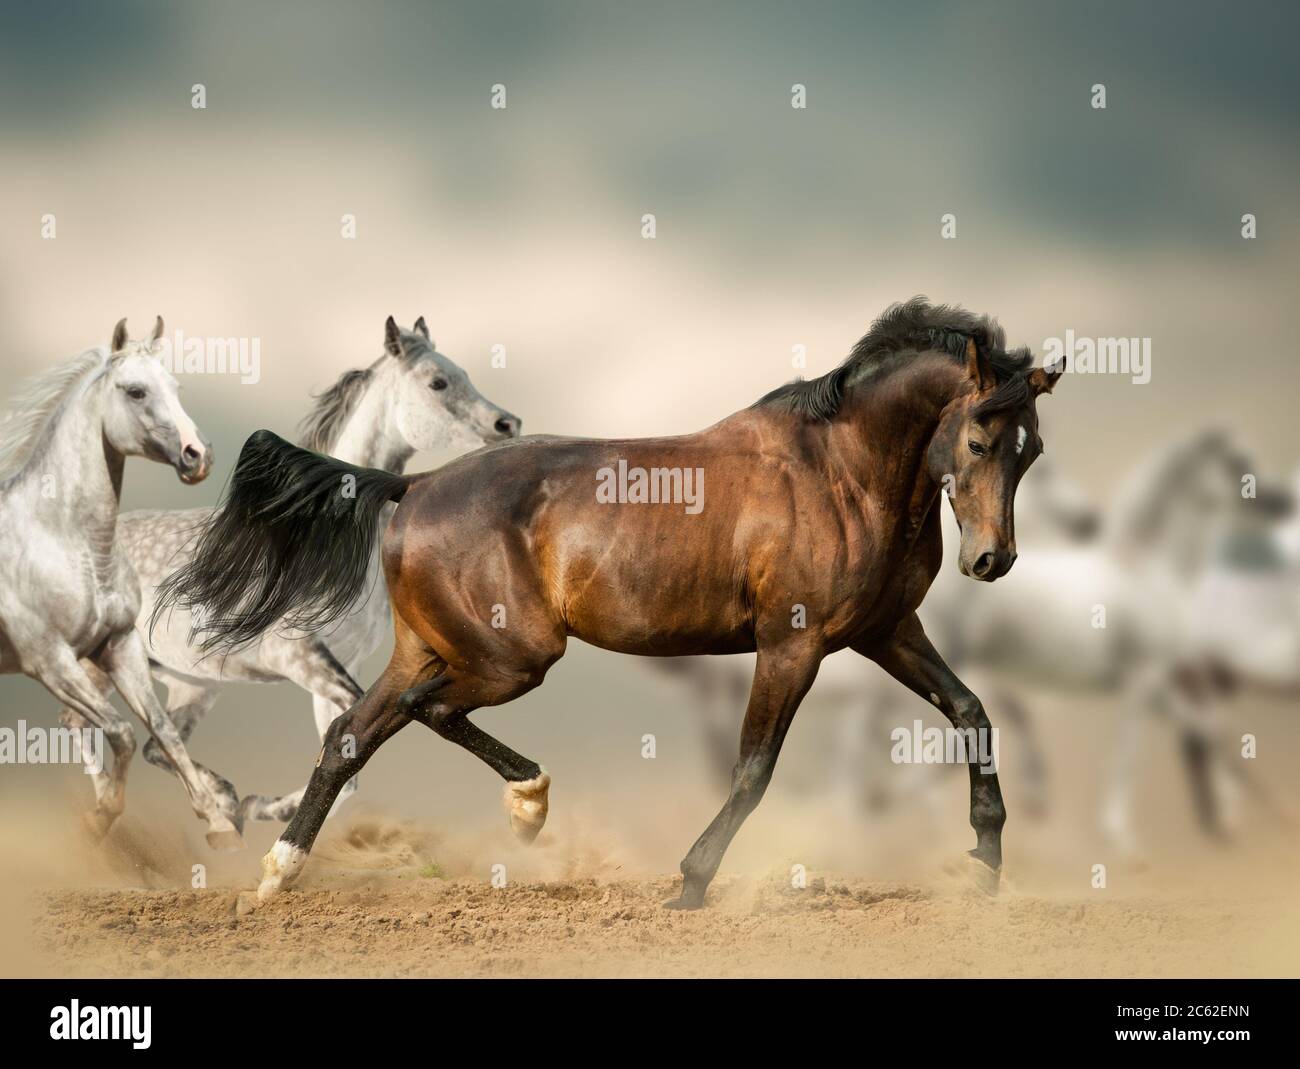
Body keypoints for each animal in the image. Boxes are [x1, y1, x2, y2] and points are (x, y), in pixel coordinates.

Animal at [0, 318, 242, 847]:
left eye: (176, 387)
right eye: (135, 391)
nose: (198, 456)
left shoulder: (118, 645)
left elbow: (161, 730)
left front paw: (217, 823)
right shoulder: (50, 663)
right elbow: (122, 733)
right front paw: (101, 815)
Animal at [122, 317, 519, 829]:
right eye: (438, 381)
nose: (507, 424)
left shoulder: (338, 663)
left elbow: (346, 756)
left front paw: (264, 807)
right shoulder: (302, 658)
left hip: (192, 684)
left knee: (155, 748)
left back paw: (225, 808)